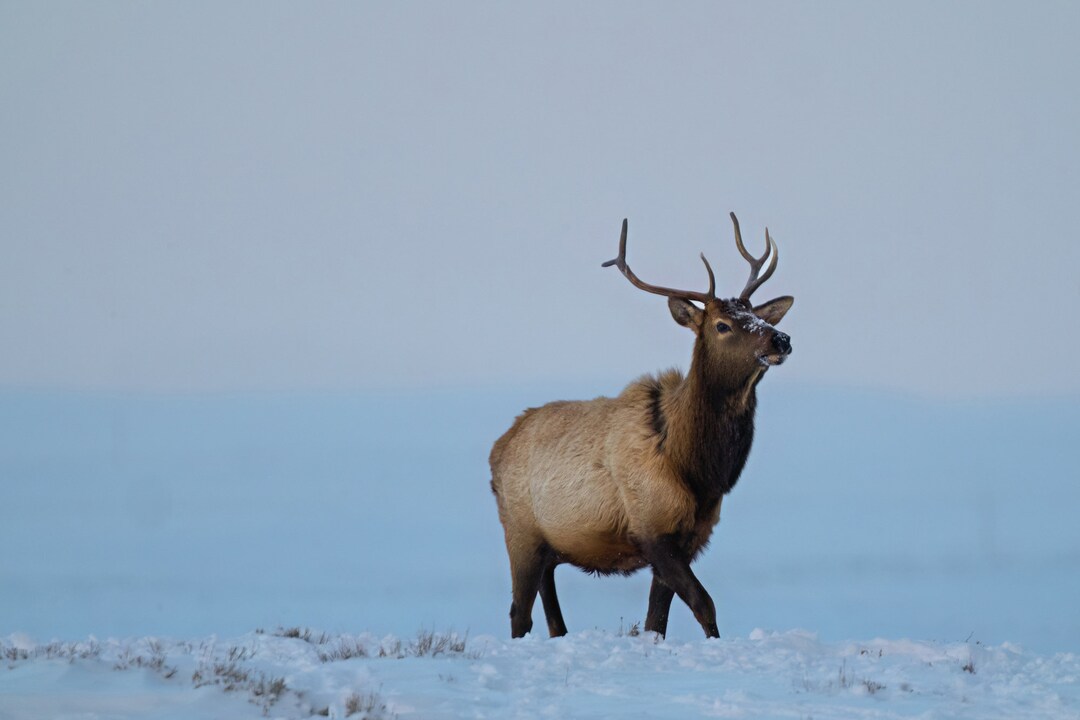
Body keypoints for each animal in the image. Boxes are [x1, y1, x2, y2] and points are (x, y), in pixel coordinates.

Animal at [489, 212, 794, 639]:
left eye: (758, 316)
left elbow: (656, 621)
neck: (699, 470)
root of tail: (497, 450)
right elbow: (704, 604)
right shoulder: (652, 527)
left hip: (549, 546)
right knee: (519, 613)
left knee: (551, 613)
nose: (780, 339)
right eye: (722, 325)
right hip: (520, 531)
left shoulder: (690, 536)